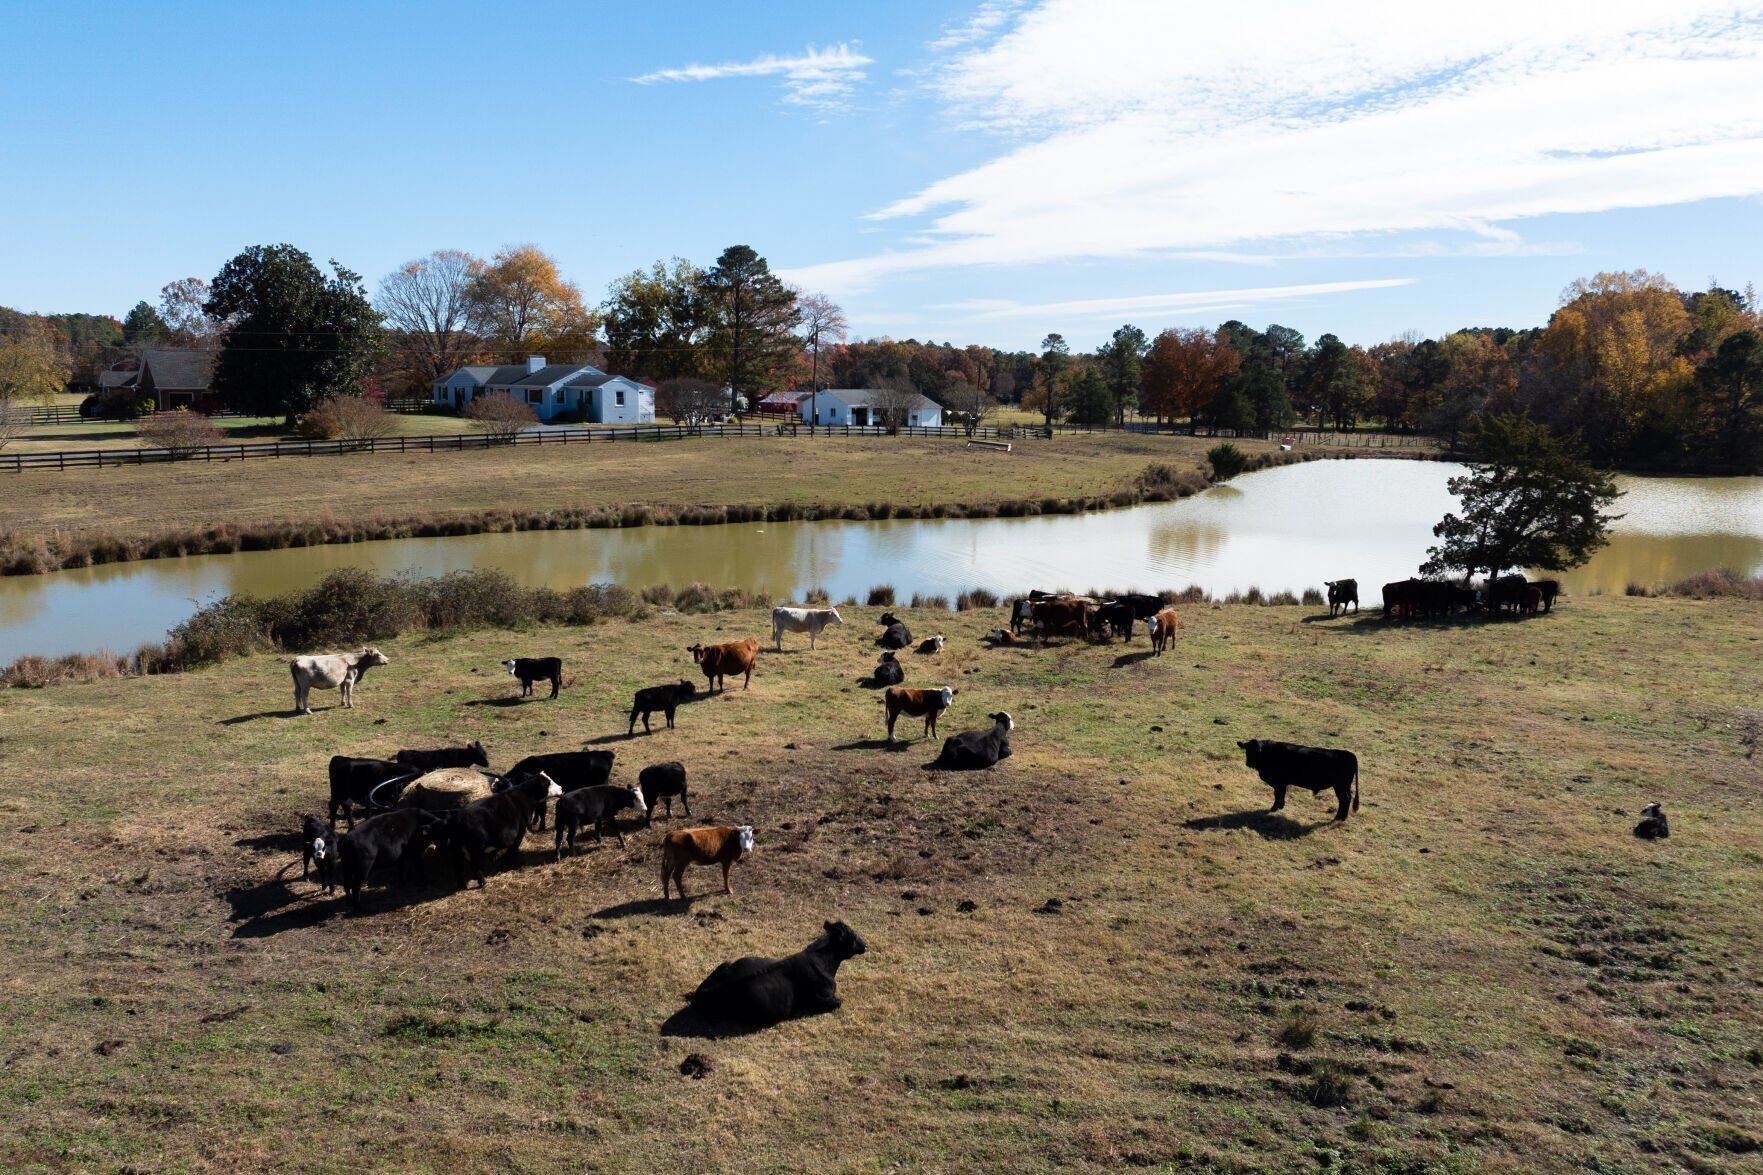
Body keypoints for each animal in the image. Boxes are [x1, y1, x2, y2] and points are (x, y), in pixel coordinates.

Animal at [430, 772, 562, 889]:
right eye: (549, 783)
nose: (561, 788)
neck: (524, 796)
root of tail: (456, 818)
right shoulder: (521, 830)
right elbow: (514, 846)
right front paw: (509, 861)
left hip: (456, 851)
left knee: (457, 868)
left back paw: (461, 885)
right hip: (475, 848)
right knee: (474, 866)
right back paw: (482, 882)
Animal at [684, 920, 868, 1027]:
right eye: (852, 935)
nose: (865, 944)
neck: (823, 960)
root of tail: (703, 991)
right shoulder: (824, 998)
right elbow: (839, 1001)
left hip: (726, 964)